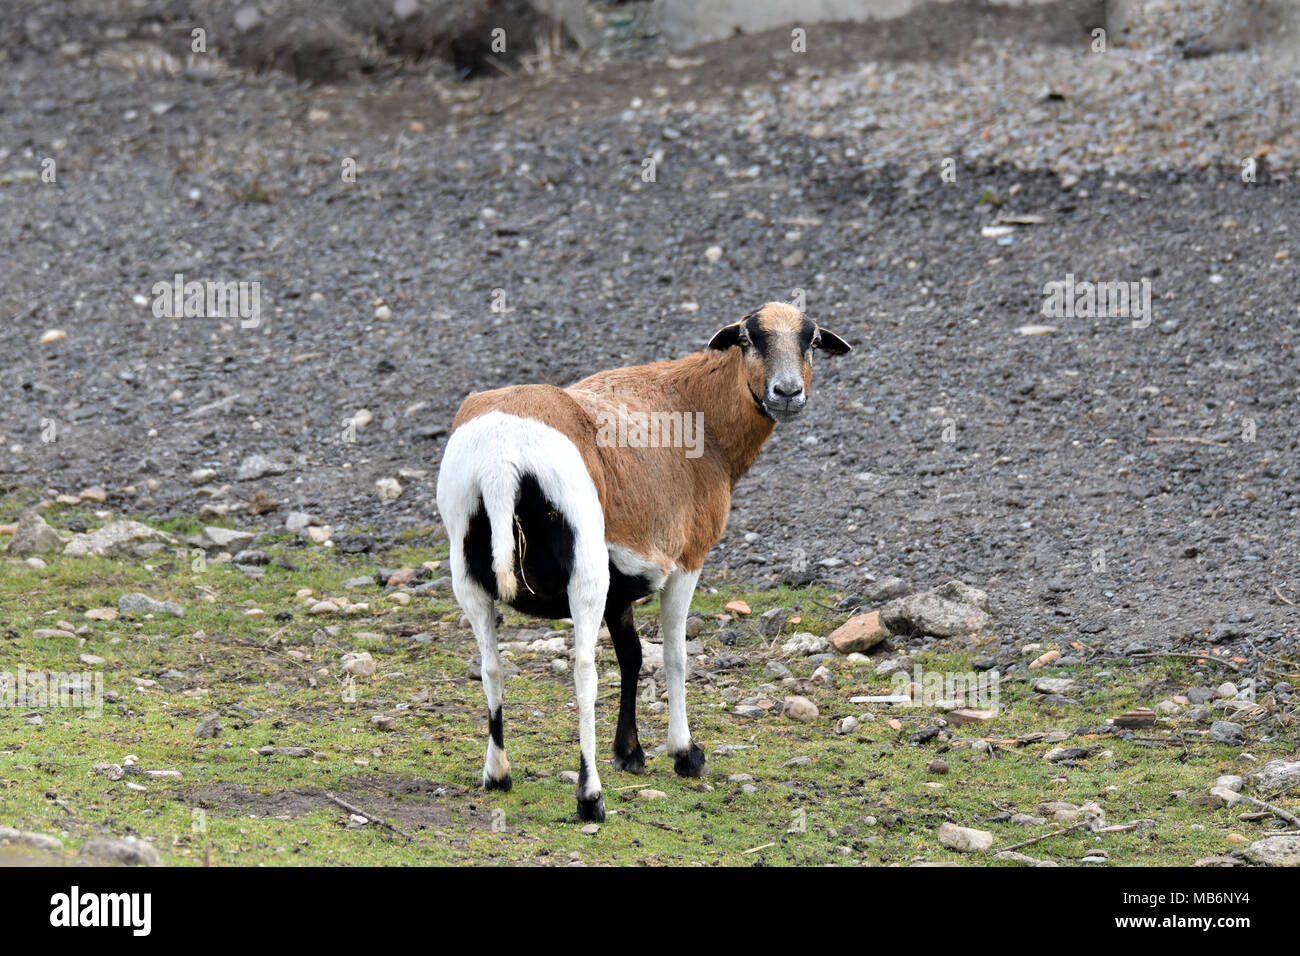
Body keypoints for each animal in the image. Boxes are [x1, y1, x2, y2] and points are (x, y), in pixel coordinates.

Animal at [435, 302, 851, 821]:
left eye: (811, 341)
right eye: (748, 339)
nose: (788, 393)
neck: (702, 415)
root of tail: (500, 460)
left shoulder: (622, 581)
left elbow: (632, 656)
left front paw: (630, 752)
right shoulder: (687, 558)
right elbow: (673, 655)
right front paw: (684, 753)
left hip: (466, 568)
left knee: (491, 666)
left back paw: (497, 774)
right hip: (585, 567)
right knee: (583, 673)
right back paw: (590, 797)